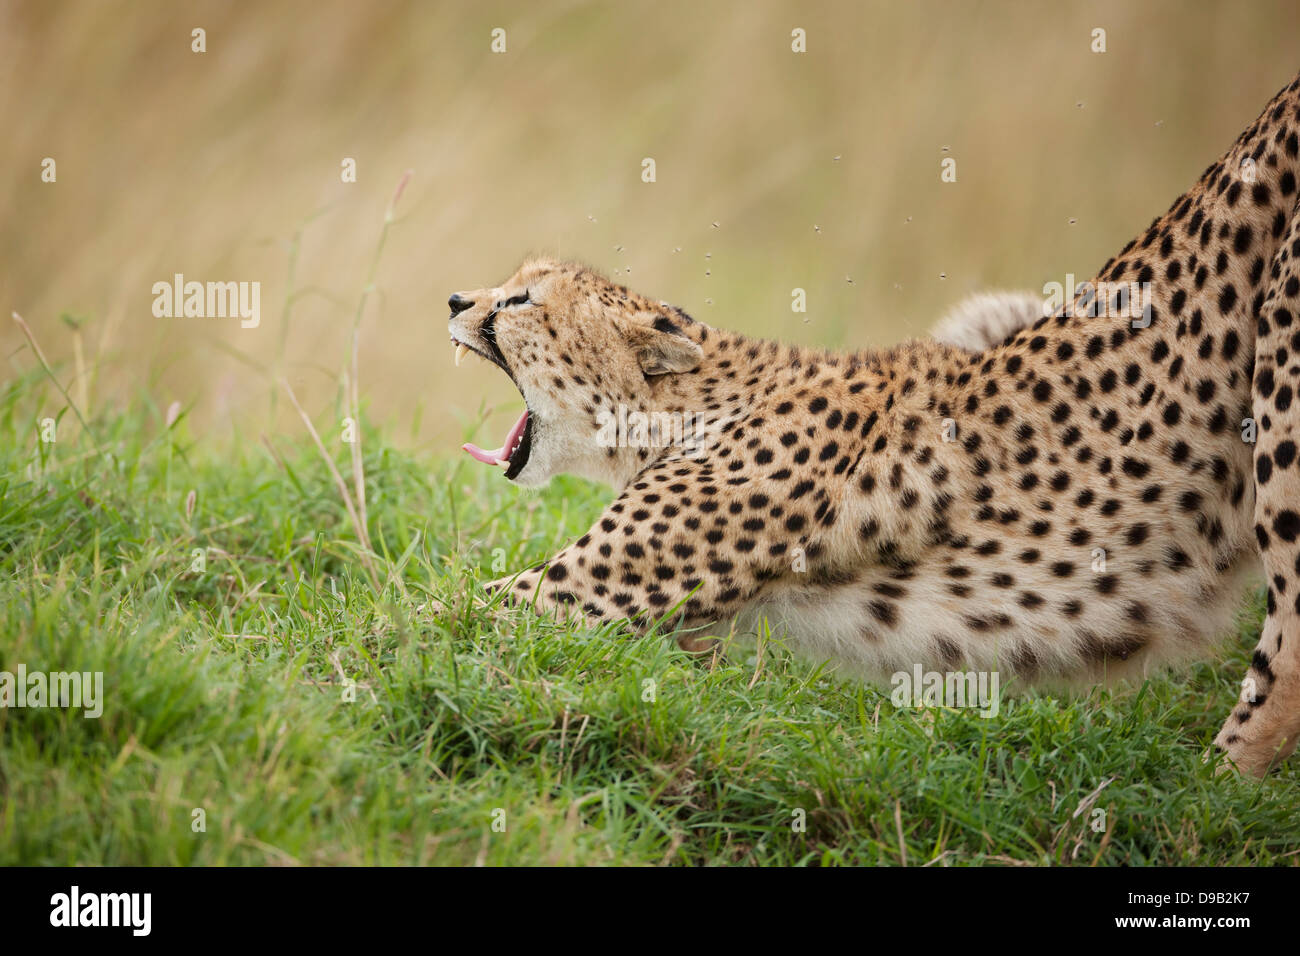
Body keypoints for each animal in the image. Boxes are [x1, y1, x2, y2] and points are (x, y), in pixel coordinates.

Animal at [446, 68, 1300, 777]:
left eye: (520, 299)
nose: (456, 299)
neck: (683, 407)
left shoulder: (569, 601)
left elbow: (438, 612)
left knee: (1284, 658)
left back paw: (1211, 790)